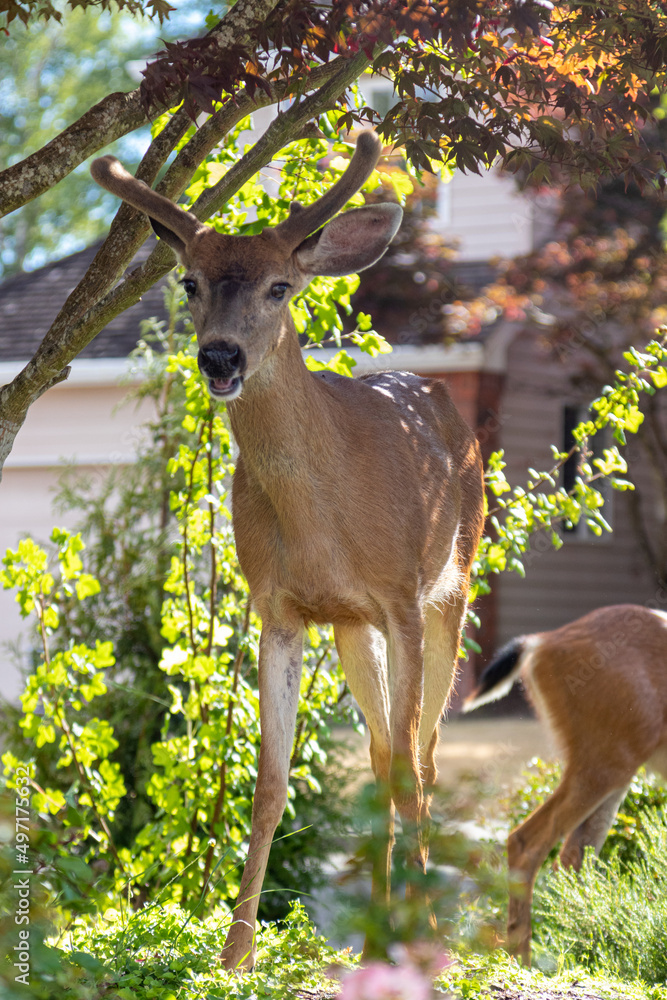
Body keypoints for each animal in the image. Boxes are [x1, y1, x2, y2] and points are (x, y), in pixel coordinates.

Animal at [91, 130, 485, 970]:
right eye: (190, 281)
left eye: (279, 287)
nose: (220, 358)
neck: (320, 520)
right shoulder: (276, 609)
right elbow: (270, 782)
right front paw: (234, 953)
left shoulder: (400, 598)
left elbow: (411, 767)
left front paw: (426, 942)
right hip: (350, 629)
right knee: (378, 751)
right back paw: (373, 936)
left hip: (452, 585)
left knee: (422, 753)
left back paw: (412, 933)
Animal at [463, 603, 667, 966]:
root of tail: (541, 641)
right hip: (606, 759)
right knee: (527, 841)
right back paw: (525, 961)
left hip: (613, 769)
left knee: (572, 857)